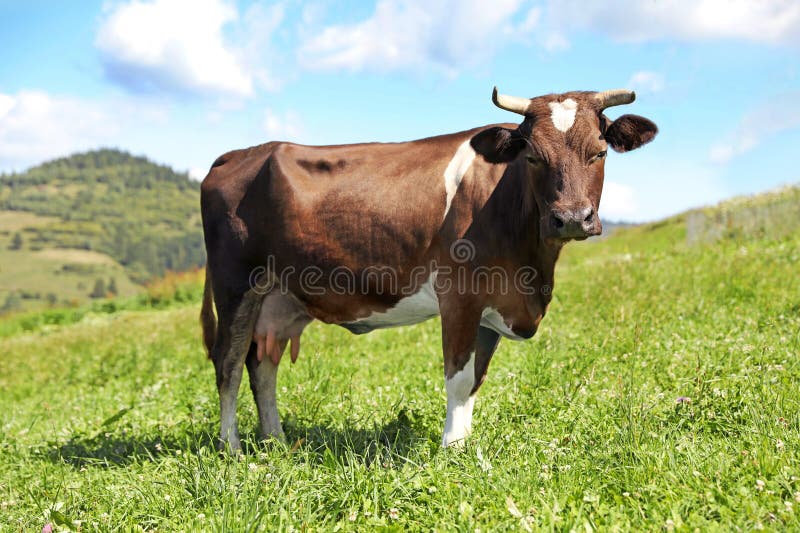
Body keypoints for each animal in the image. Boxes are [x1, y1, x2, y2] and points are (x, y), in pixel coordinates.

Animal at [200, 87, 658, 451]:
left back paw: (274, 440)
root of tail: (239, 154)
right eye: (533, 156)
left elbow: (475, 379)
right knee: (228, 363)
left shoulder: (493, 305)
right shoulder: (459, 295)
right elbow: (457, 376)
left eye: (599, 152)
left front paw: (465, 443)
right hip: (236, 282)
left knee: (263, 363)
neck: (531, 268)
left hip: (280, 298)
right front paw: (451, 448)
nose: (572, 218)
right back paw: (231, 447)